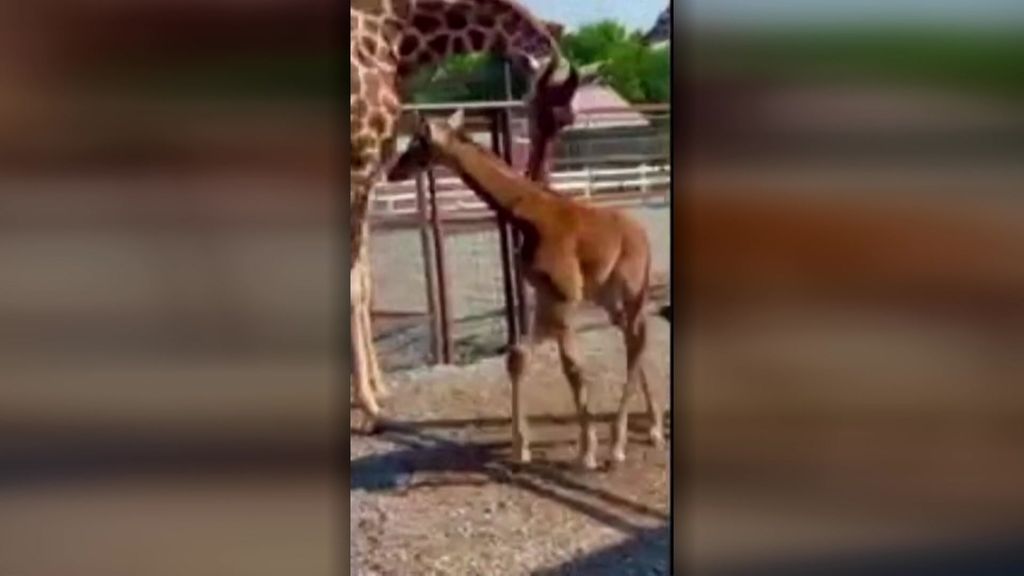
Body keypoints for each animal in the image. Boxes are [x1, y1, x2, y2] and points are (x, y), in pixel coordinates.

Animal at [350, 0, 580, 432]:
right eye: (545, 110)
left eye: (568, 119)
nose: (538, 174)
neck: (396, 31)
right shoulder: (359, 166)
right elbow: (354, 285)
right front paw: (369, 406)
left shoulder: (370, 174)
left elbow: (364, 283)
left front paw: (376, 392)